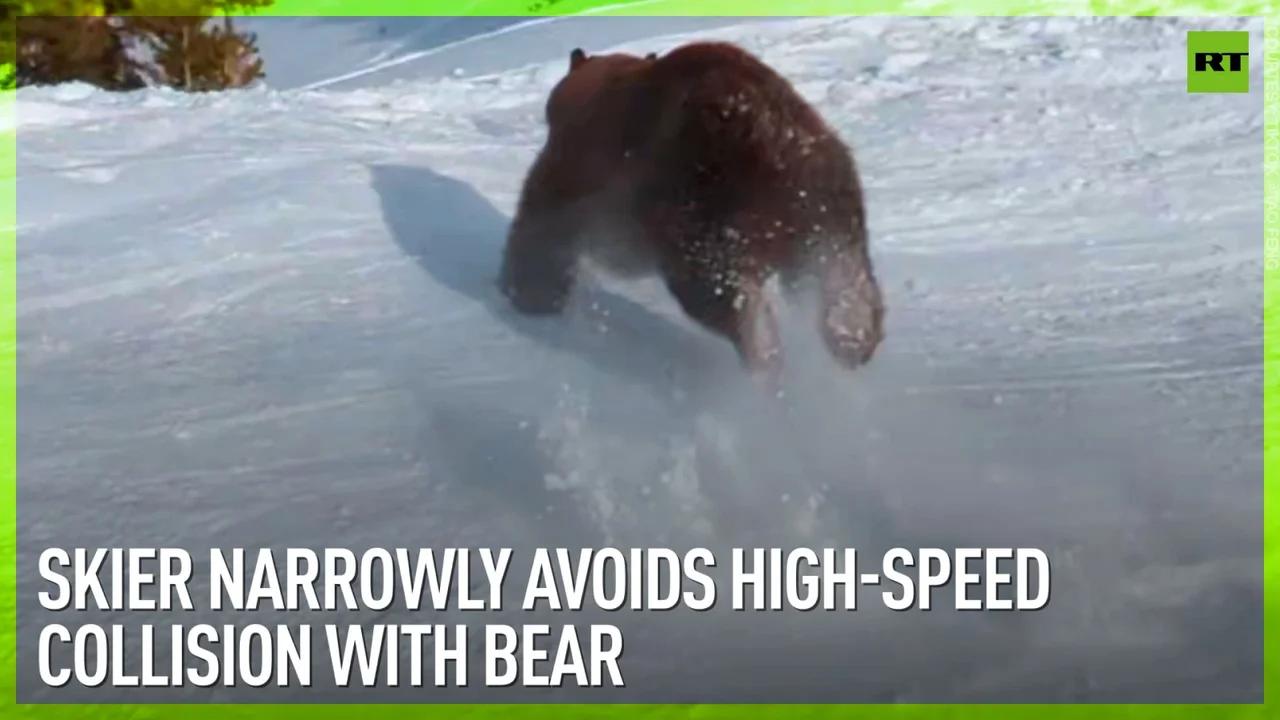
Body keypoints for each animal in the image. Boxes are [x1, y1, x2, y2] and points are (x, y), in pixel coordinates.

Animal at [499, 42, 884, 382]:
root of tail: (767, 132)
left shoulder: (582, 168)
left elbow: (542, 226)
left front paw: (528, 295)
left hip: (696, 202)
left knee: (719, 292)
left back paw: (763, 356)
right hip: (828, 198)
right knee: (844, 284)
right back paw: (852, 342)